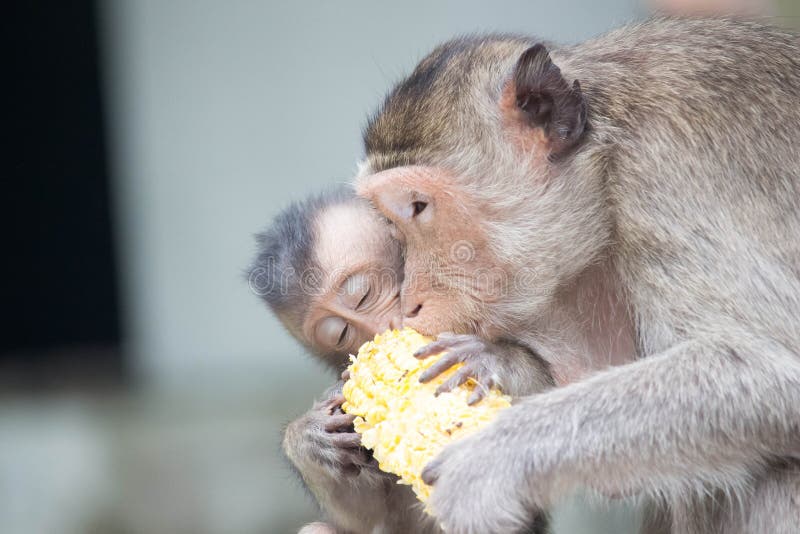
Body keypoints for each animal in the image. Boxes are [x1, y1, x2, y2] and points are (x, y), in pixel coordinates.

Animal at [249, 187, 553, 533]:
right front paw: (306, 437)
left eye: (364, 295)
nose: (383, 329)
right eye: (341, 334)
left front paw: (487, 357)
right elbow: (363, 517)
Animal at [355, 16, 800, 534]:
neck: (607, 162)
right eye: (391, 222)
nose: (410, 303)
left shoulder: (669, 181)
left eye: (418, 207)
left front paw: (488, 460)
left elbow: (766, 372)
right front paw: (493, 361)